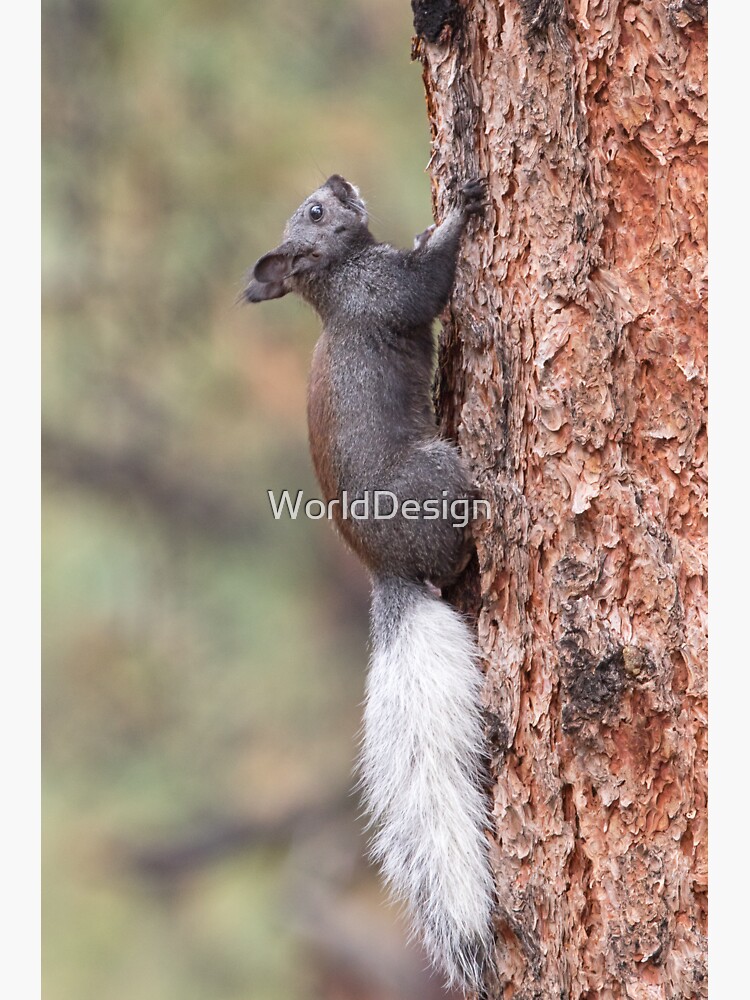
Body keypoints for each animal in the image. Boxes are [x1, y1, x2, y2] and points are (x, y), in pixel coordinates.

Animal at [242, 174, 495, 994]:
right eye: (317, 214)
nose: (335, 180)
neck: (335, 280)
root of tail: (388, 573)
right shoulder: (384, 294)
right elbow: (428, 285)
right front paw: (459, 209)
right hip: (437, 476)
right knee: (451, 557)